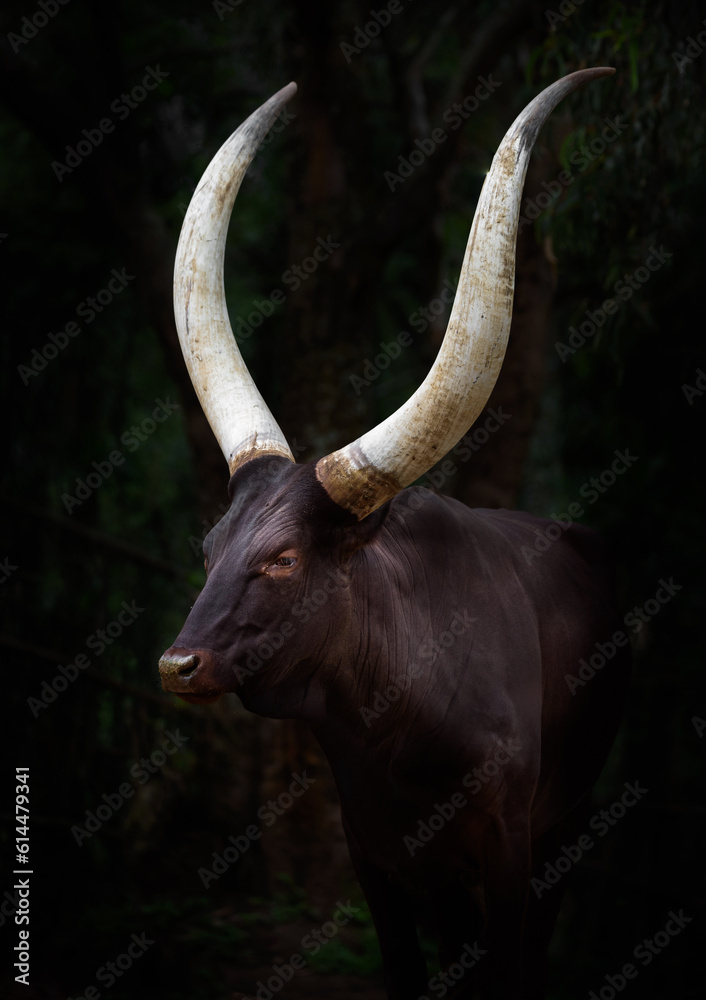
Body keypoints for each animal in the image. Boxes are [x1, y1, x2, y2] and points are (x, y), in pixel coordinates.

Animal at [159, 68, 631, 999]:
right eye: (208, 549)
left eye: (282, 558)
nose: (178, 665)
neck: (398, 718)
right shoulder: (376, 856)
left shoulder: (511, 849)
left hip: (570, 822)